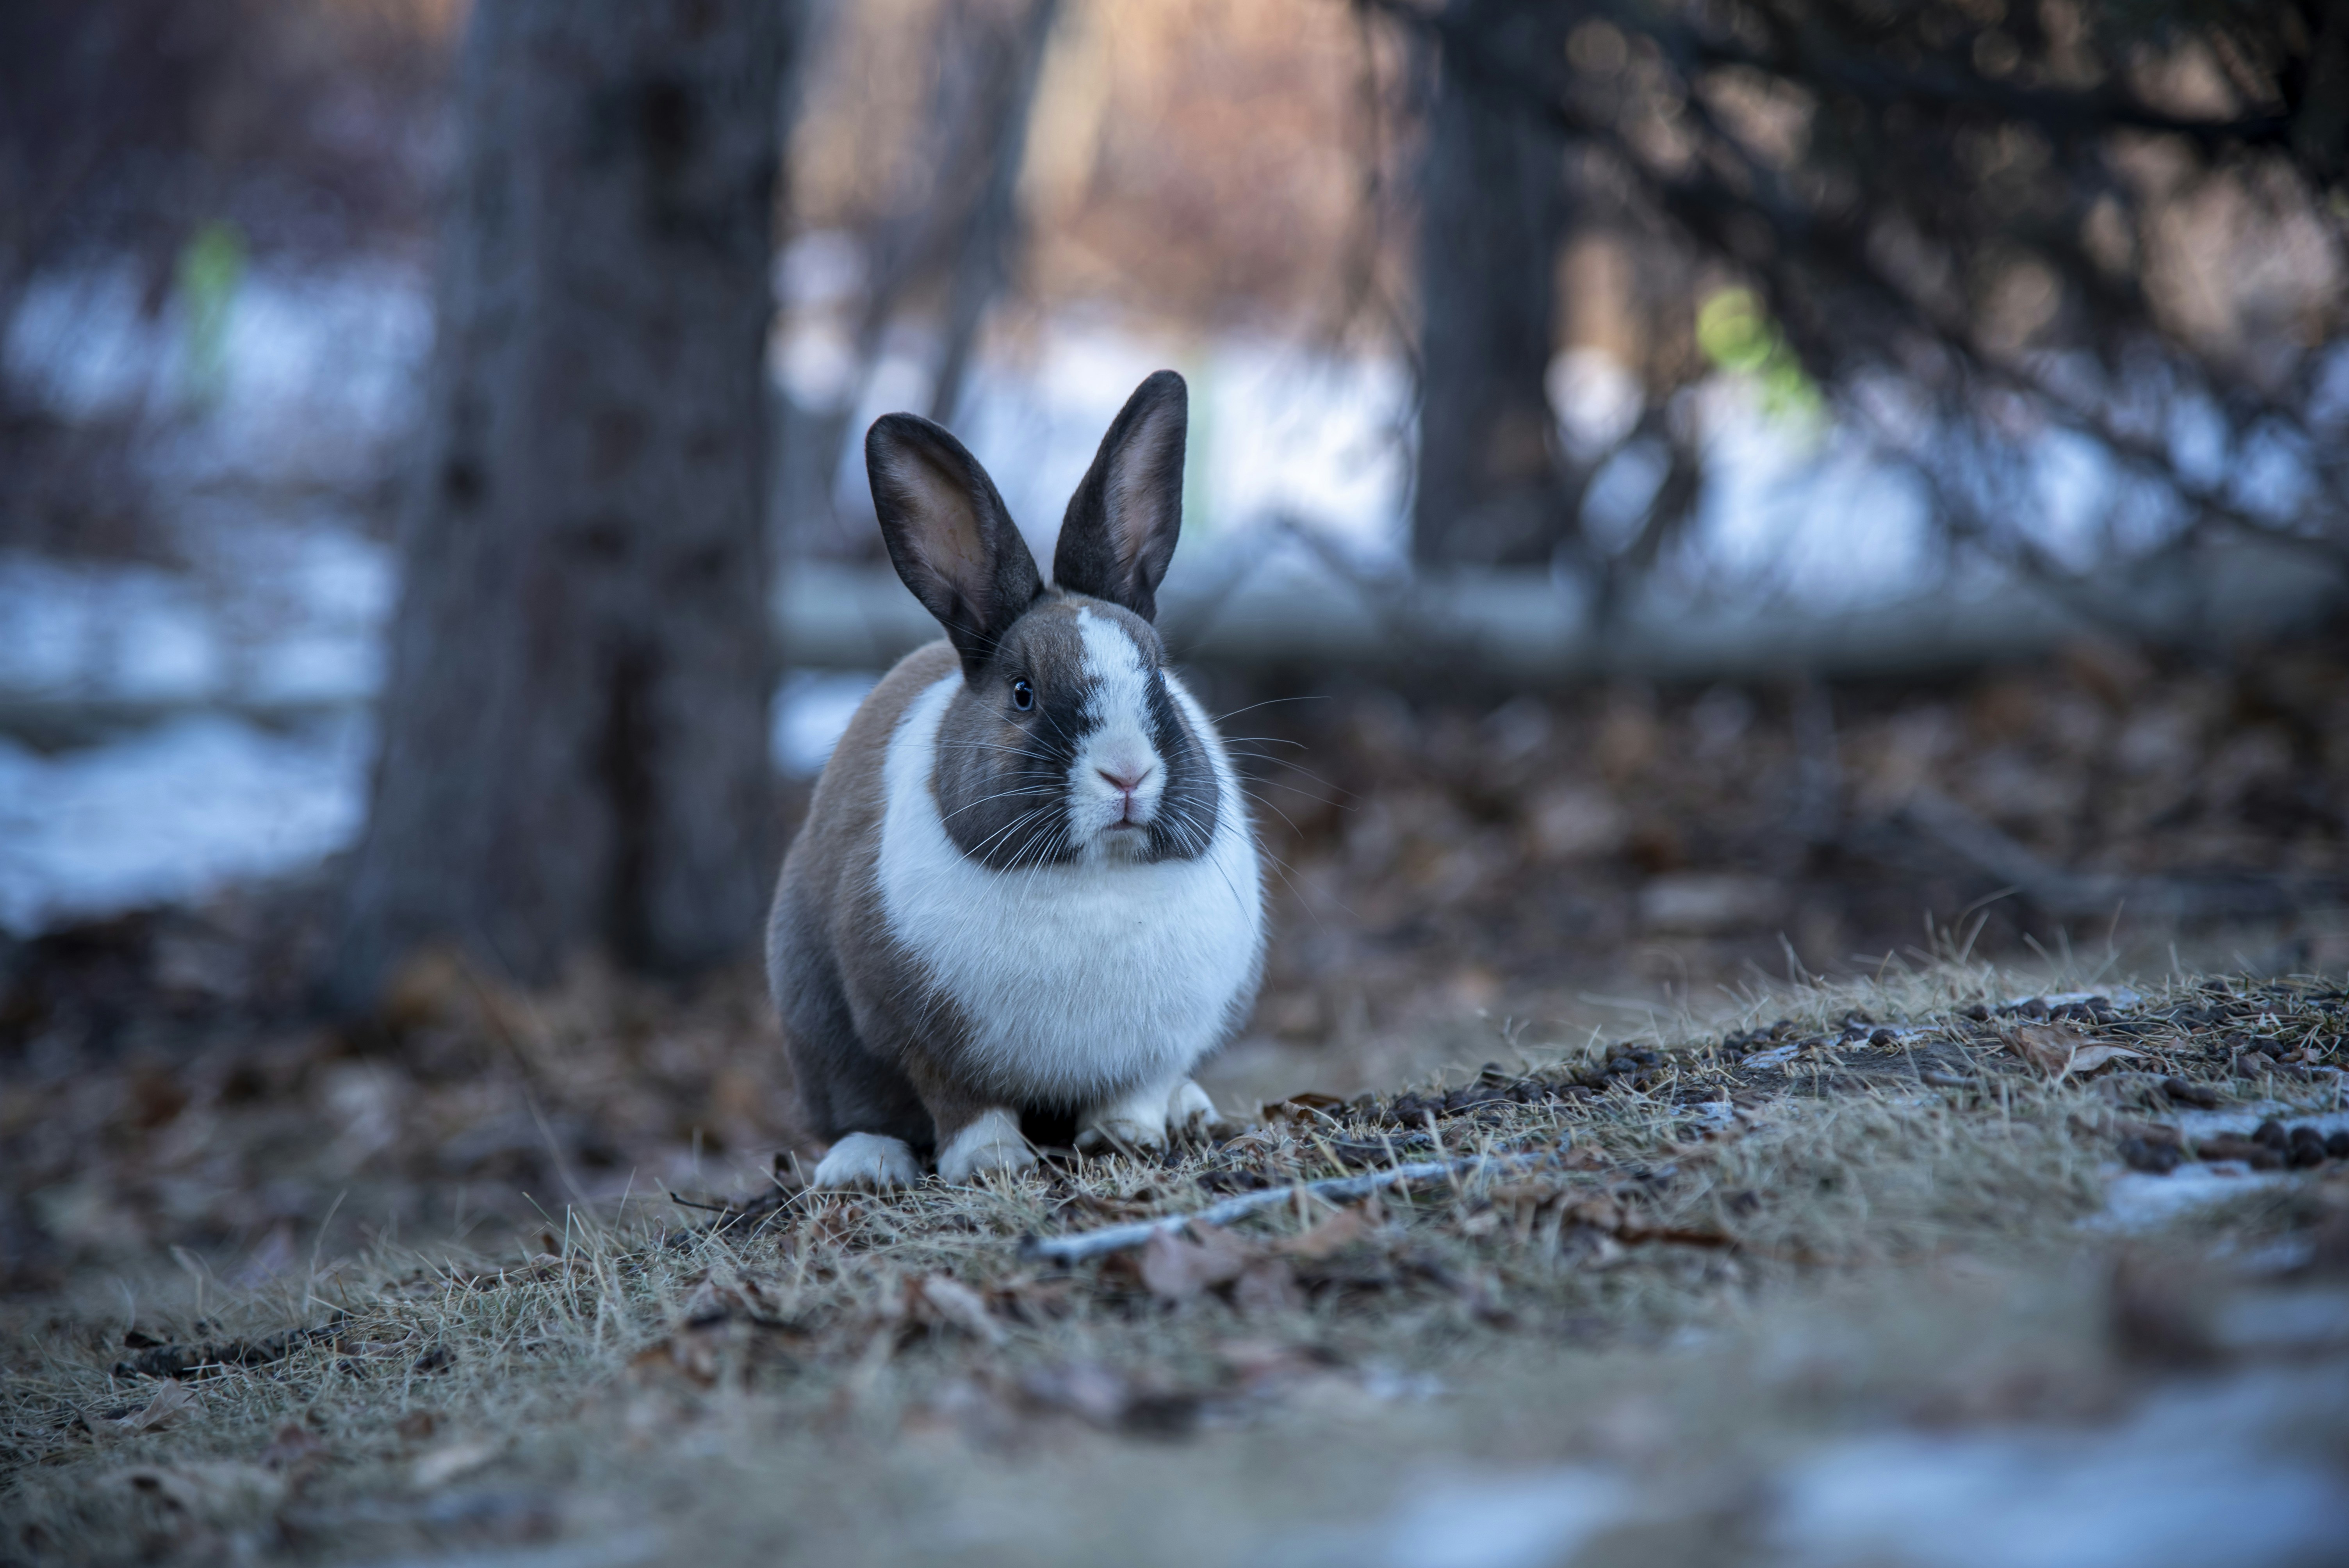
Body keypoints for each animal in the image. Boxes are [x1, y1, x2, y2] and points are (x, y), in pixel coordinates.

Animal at [766, 370, 1265, 1189]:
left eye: (1159, 676)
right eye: (1024, 694)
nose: (1126, 774)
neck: (1096, 880)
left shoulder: (1162, 1042)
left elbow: (1139, 1086)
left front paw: (1125, 1136)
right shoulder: (922, 1039)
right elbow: (962, 1102)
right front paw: (992, 1162)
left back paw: (1191, 1112)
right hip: (814, 1027)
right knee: (856, 1111)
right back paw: (865, 1164)